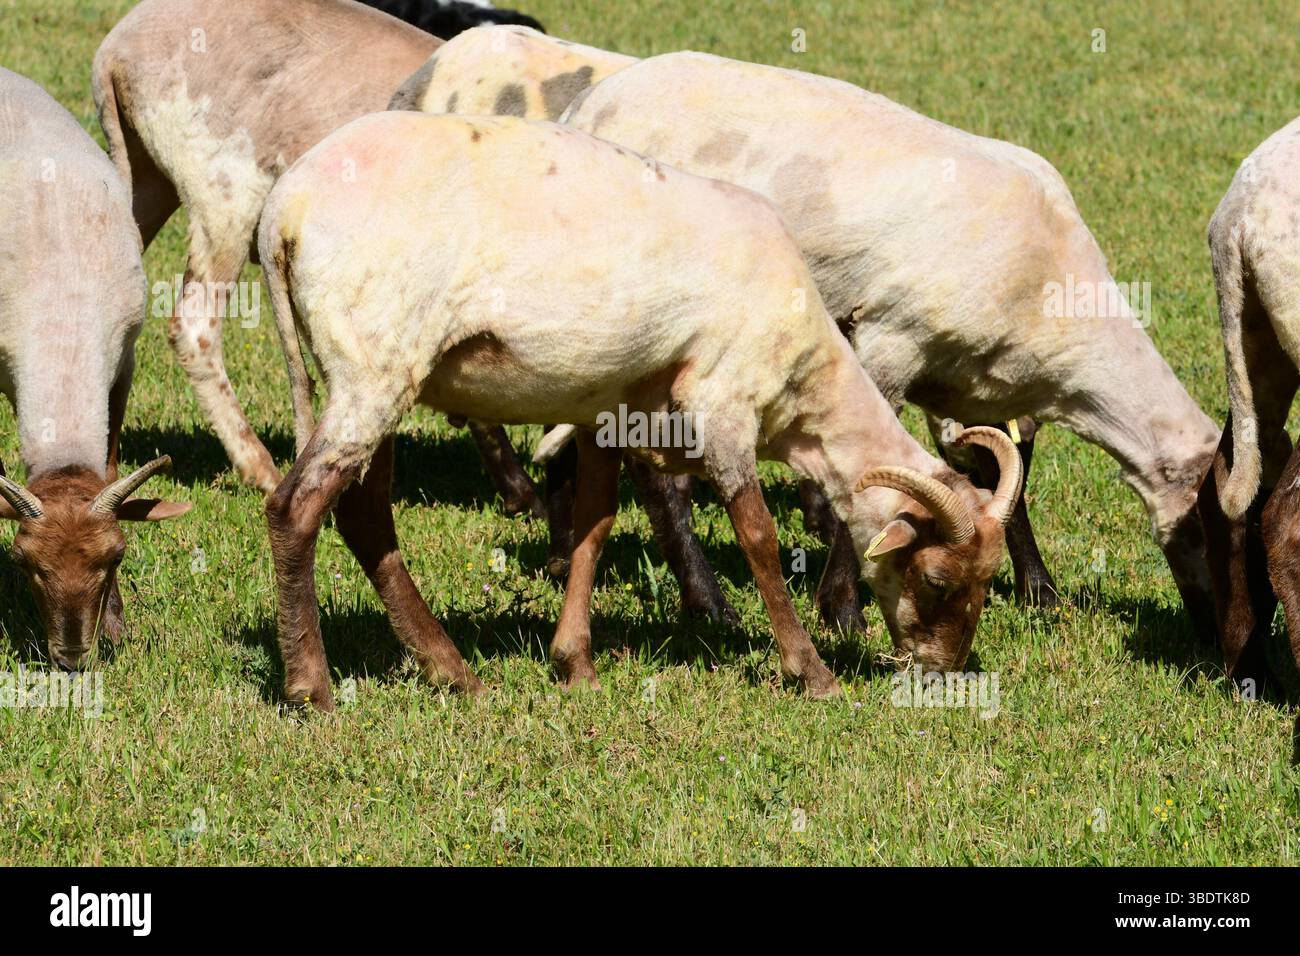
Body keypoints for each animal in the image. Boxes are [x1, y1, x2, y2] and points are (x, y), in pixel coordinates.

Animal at [0, 67, 190, 668]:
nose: (71, 659)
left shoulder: (122, 362)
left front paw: (115, 625)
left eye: (115, 557)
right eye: (25, 564)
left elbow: (108, 465)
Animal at [256, 111, 1023, 710]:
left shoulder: (607, 408)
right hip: (374, 367)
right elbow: (759, 537)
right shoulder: (723, 401)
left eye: (990, 582)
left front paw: (575, 666)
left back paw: (453, 673)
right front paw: (812, 673)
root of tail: (283, 210)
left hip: (382, 373)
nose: (941, 675)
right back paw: (312, 688)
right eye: (938, 578)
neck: (804, 392)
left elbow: (594, 525)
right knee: (295, 508)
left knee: (364, 516)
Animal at [547, 50, 1220, 634]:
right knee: (656, 474)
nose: (1219, 638)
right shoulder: (891, 342)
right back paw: (708, 606)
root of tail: (587, 104)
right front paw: (842, 610)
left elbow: (1003, 478)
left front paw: (1041, 592)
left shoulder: (969, 386)